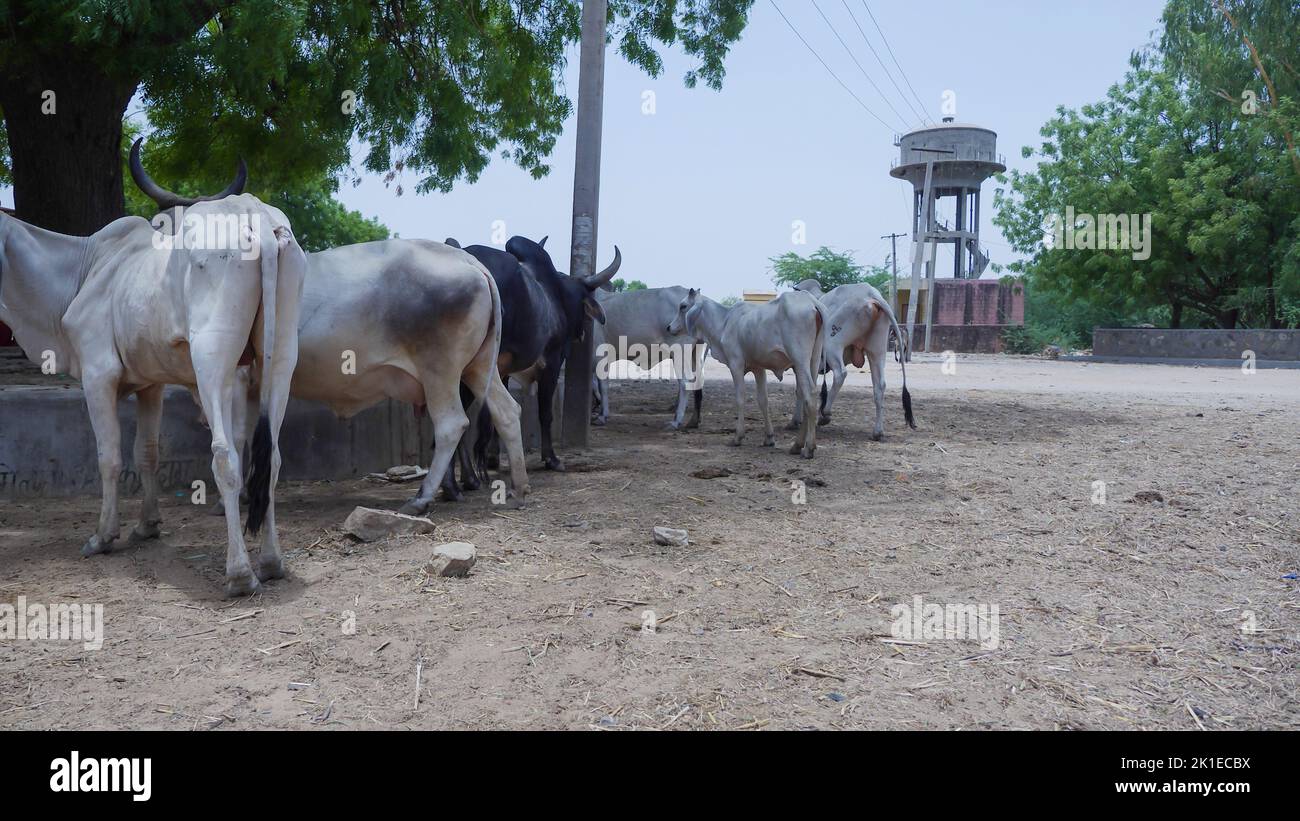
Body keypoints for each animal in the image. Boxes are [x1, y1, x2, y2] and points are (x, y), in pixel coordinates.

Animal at [0, 141, 304, 597]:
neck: (81, 270)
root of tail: (257, 218)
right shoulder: (151, 387)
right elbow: (147, 453)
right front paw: (147, 526)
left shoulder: (99, 376)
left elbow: (109, 457)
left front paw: (103, 536)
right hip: (280, 358)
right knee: (272, 459)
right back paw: (270, 562)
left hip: (213, 361)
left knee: (226, 457)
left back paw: (239, 573)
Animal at [436, 235, 621, 500]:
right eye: (578, 299)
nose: (581, 334)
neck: (553, 296)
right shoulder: (551, 364)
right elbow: (545, 413)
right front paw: (551, 459)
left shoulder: (504, 371)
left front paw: (492, 458)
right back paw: (454, 485)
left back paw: (466, 480)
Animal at [591, 286, 707, 430]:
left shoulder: (599, 354)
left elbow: (601, 385)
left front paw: (602, 415)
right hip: (695, 353)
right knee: (698, 383)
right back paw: (693, 421)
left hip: (679, 352)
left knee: (685, 383)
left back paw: (676, 421)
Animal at [668, 289, 827, 458]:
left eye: (683, 306)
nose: (669, 327)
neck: (724, 322)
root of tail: (811, 301)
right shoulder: (758, 368)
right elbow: (763, 400)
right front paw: (769, 438)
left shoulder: (735, 364)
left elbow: (740, 398)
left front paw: (738, 437)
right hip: (814, 359)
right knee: (805, 395)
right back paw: (797, 445)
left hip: (799, 359)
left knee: (810, 393)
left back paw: (808, 448)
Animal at [791, 279, 915, 438]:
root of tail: (871, 294)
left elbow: (801, 389)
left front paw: (796, 421)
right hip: (877, 350)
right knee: (880, 385)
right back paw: (878, 432)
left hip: (832, 344)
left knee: (840, 374)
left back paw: (825, 413)